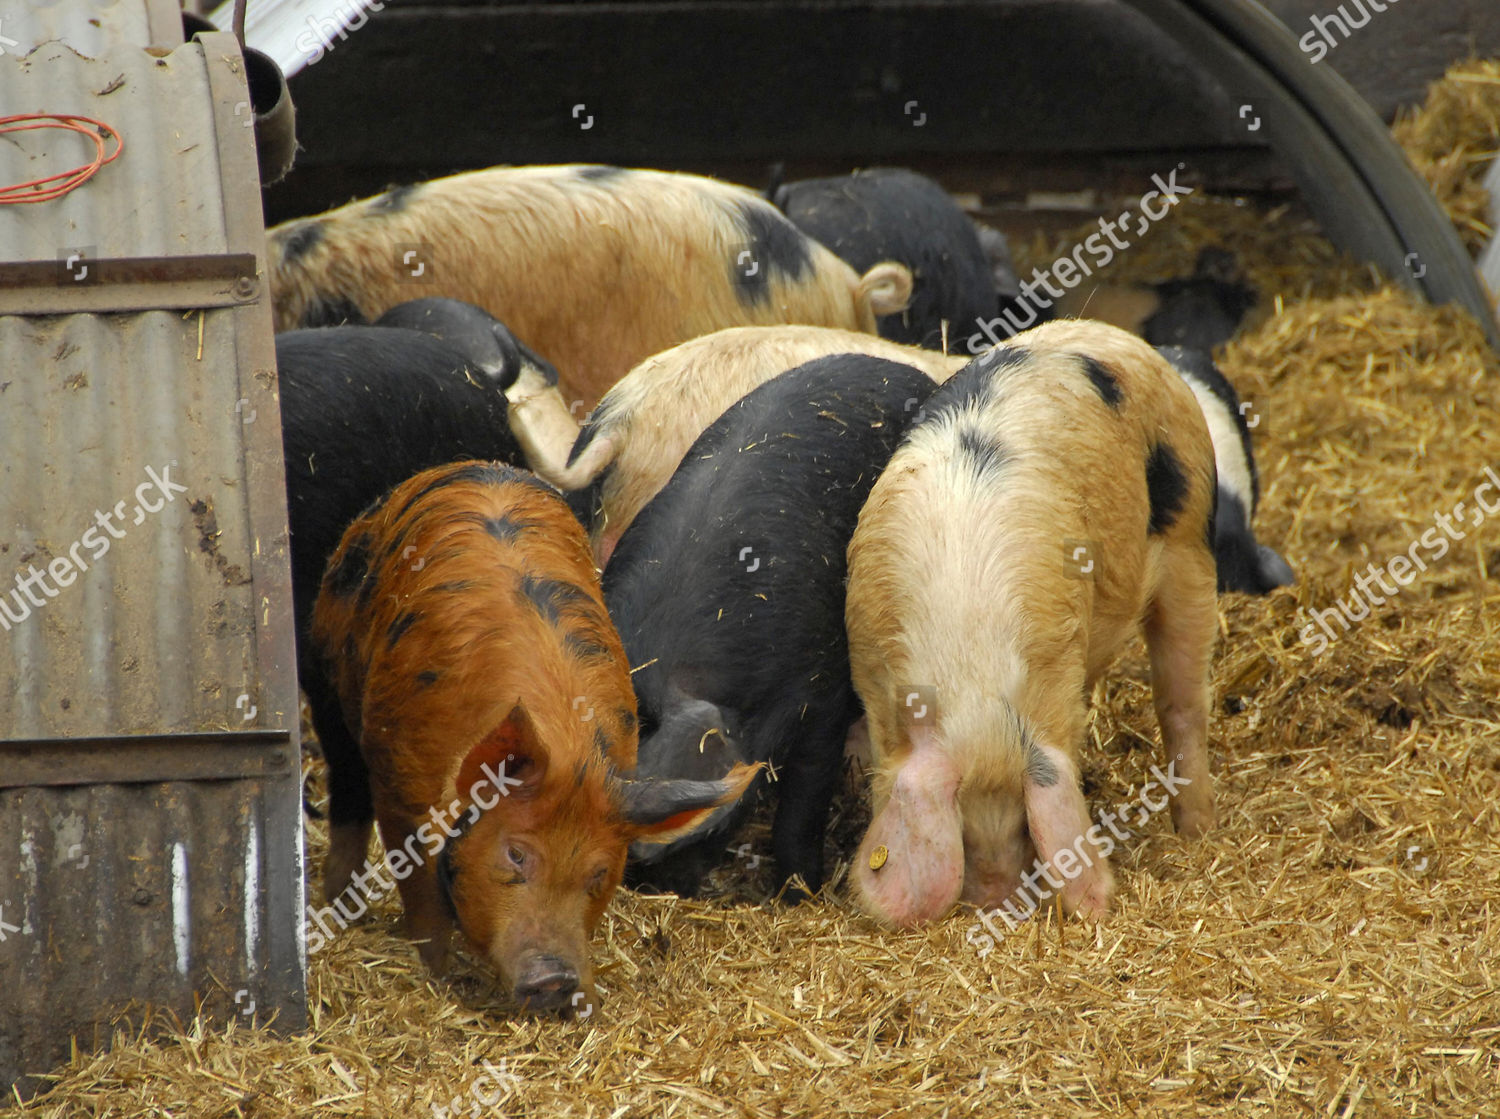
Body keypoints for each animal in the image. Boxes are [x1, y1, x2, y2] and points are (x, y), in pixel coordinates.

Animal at [310, 460, 756, 1009]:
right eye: (516, 853)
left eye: (599, 872)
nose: (554, 980)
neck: (569, 750)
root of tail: (473, 467)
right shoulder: (398, 778)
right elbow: (422, 894)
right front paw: (442, 978)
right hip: (326, 676)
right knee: (346, 783)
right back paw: (336, 902)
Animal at [845, 320, 1219, 929]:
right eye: (965, 833)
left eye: (1024, 826)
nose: (998, 901)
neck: (970, 669)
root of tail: (1113, 335)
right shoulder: (871, 676)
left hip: (1192, 536)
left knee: (1183, 702)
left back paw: (1197, 832)